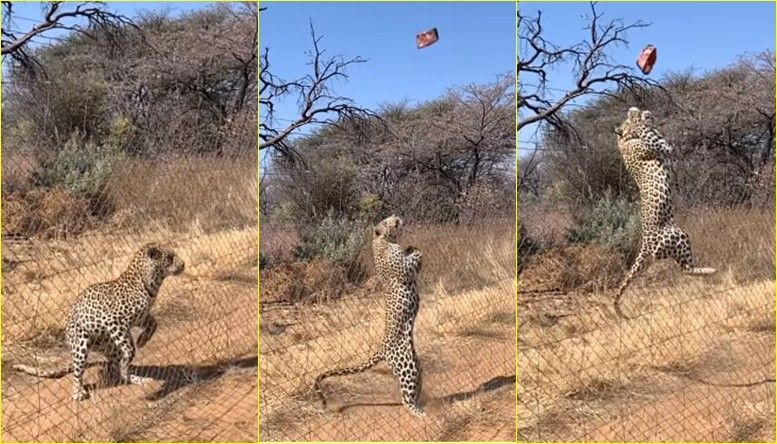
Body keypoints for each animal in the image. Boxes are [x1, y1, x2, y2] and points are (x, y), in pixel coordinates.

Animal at [13, 243, 185, 401]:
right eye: (170, 257)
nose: (183, 264)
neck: (152, 284)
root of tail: (67, 331)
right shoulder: (115, 321)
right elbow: (130, 348)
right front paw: (135, 347)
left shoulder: (141, 317)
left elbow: (154, 324)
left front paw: (142, 340)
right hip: (80, 344)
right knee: (78, 373)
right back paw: (78, 392)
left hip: (110, 347)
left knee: (118, 369)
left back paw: (138, 378)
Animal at [313, 215, 425, 416]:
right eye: (387, 221)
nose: (396, 217)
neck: (386, 241)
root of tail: (382, 348)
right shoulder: (403, 269)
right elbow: (411, 260)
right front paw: (414, 249)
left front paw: (410, 247)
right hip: (406, 366)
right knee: (406, 396)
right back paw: (417, 411)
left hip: (414, 362)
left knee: (414, 386)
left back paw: (420, 403)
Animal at [613, 107, 715, 317]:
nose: (633, 111)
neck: (623, 143)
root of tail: (645, 245)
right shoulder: (662, 147)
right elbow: (650, 135)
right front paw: (638, 117)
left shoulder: (660, 143)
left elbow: (656, 134)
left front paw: (643, 114)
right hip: (679, 236)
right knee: (686, 269)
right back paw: (710, 270)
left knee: (684, 267)